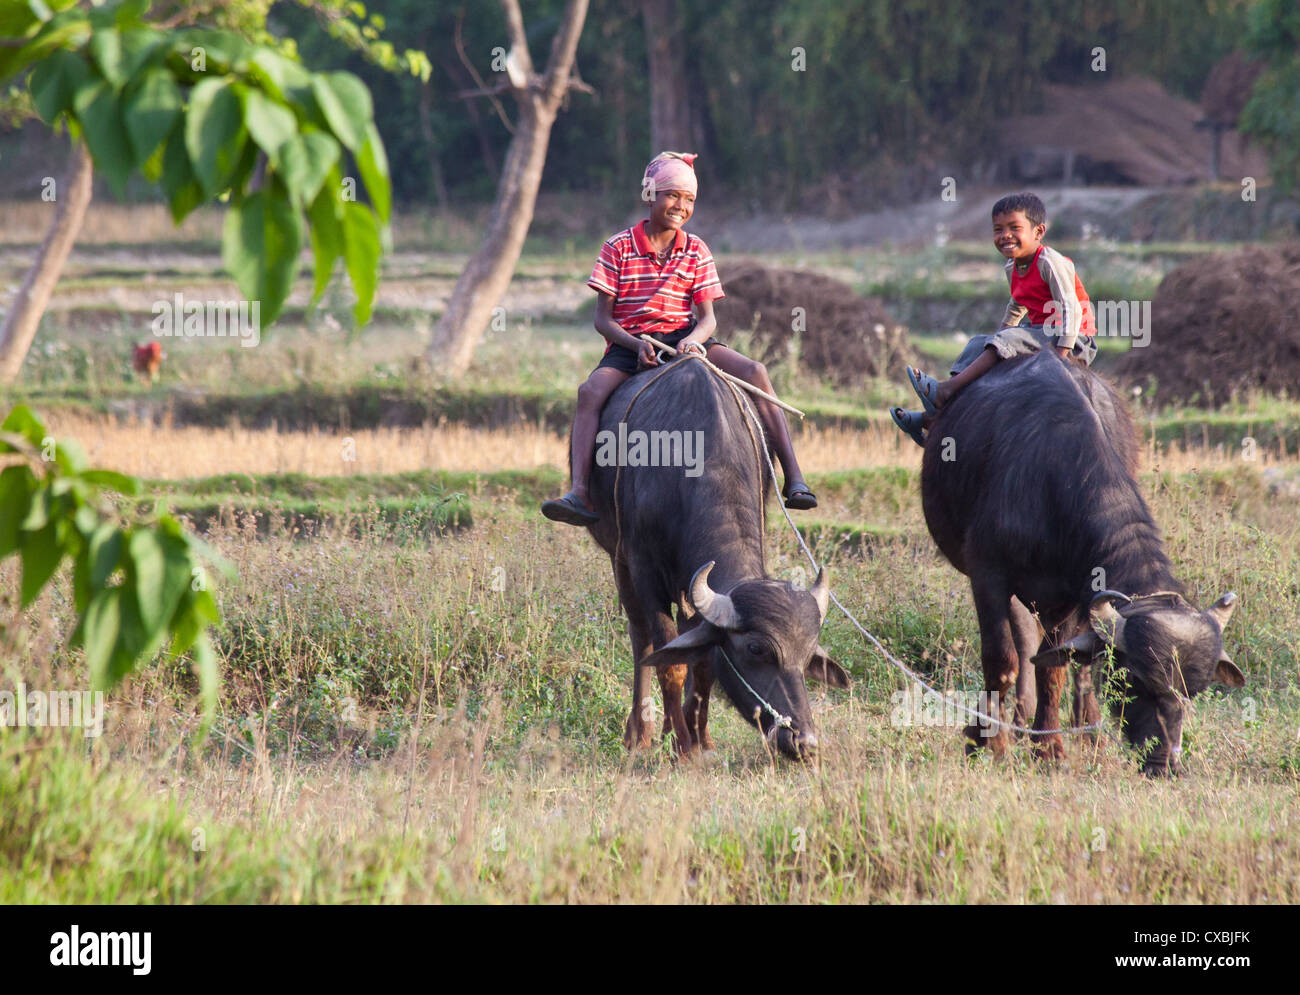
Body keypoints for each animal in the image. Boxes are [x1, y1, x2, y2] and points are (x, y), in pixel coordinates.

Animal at [584, 356, 848, 760]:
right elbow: (670, 662)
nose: (803, 742)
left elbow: (703, 661)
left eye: (805, 657)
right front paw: (682, 746)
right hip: (619, 560)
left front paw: (698, 739)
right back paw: (641, 733)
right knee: (641, 638)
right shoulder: (644, 570)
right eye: (756, 649)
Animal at [921, 350, 1243, 775]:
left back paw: (1082, 737)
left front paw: (1049, 749)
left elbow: (1054, 667)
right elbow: (1002, 661)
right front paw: (988, 744)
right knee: (1024, 643)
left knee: (1070, 661)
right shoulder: (987, 573)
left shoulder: (1075, 594)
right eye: (1132, 681)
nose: (1164, 764)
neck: (1053, 479)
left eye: (1194, 691)